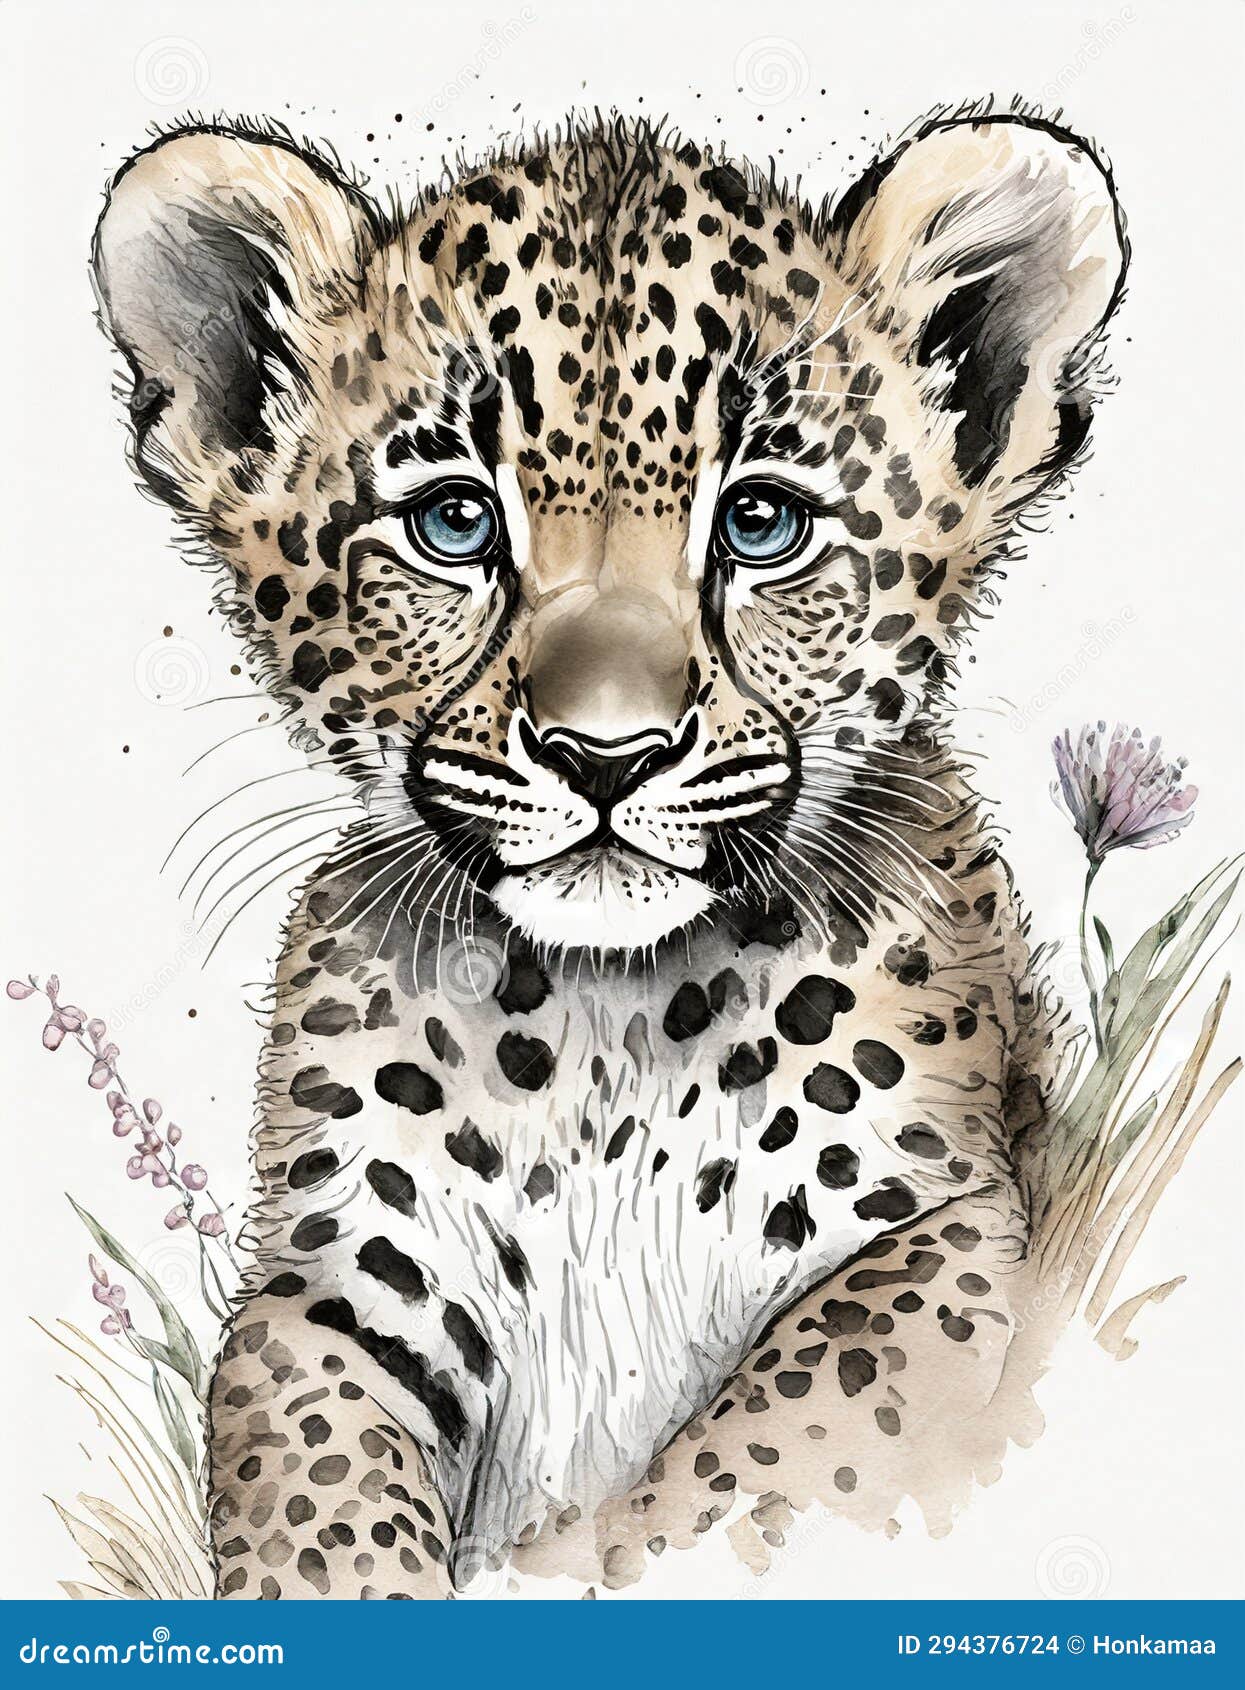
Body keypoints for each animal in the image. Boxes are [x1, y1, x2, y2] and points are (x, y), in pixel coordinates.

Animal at [91, 104, 1127, 1598]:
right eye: (454, 520)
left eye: (761, 521)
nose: (606, 752)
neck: (603, 1027)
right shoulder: (333, 1296)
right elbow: (329, 1522)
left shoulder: (940, 1235)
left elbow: (748, 1470)